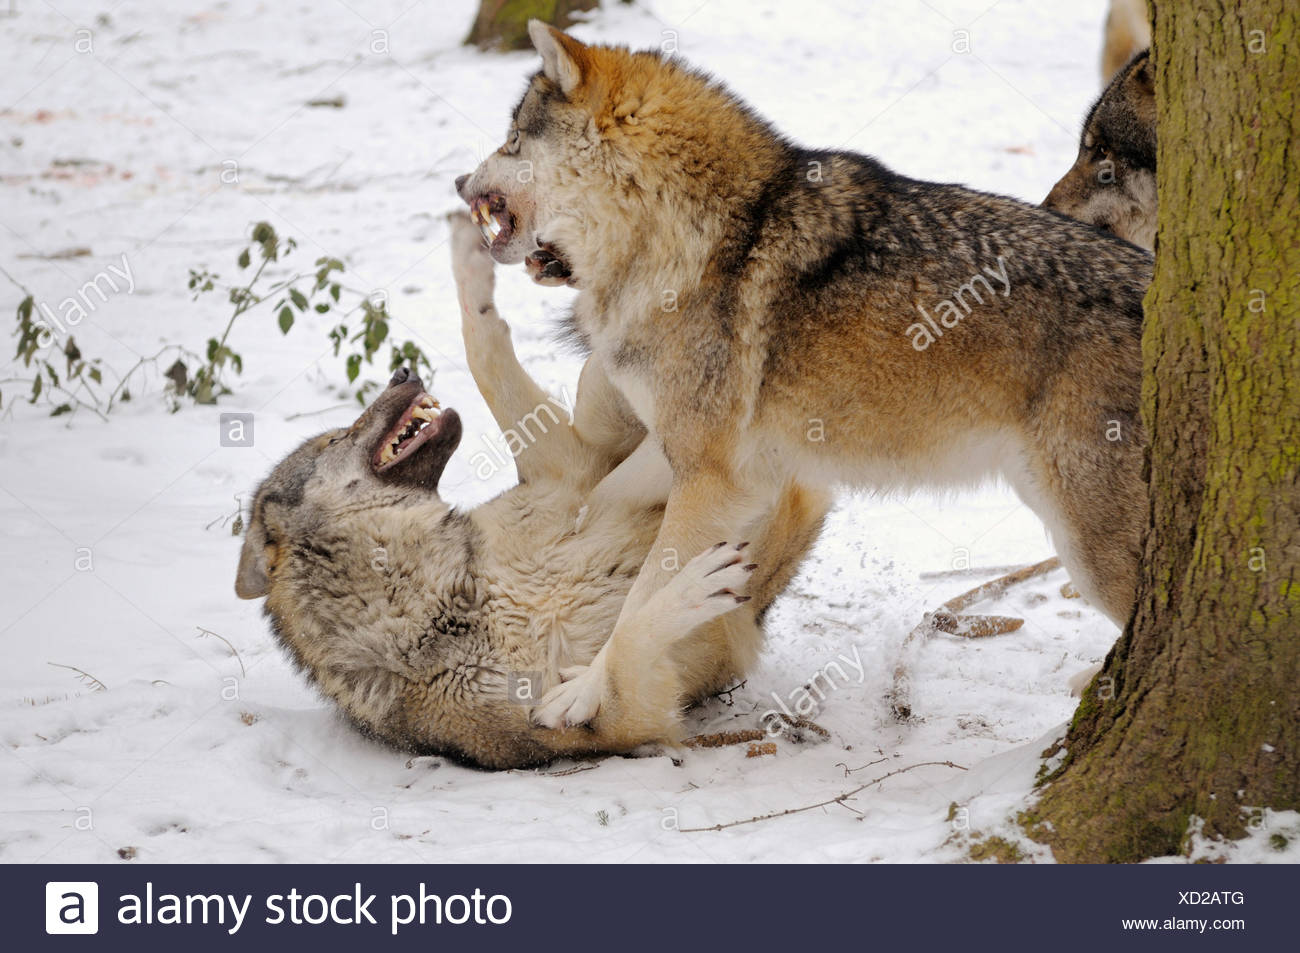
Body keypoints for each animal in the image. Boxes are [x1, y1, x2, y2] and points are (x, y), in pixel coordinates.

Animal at [233, 214, 829, 768]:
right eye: (336, 436)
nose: (403, 372)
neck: (456, 590)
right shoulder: (629, 722)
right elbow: (624, 648)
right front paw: (697, 584)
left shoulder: (568, 473)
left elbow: (484, 352)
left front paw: (471, 269)